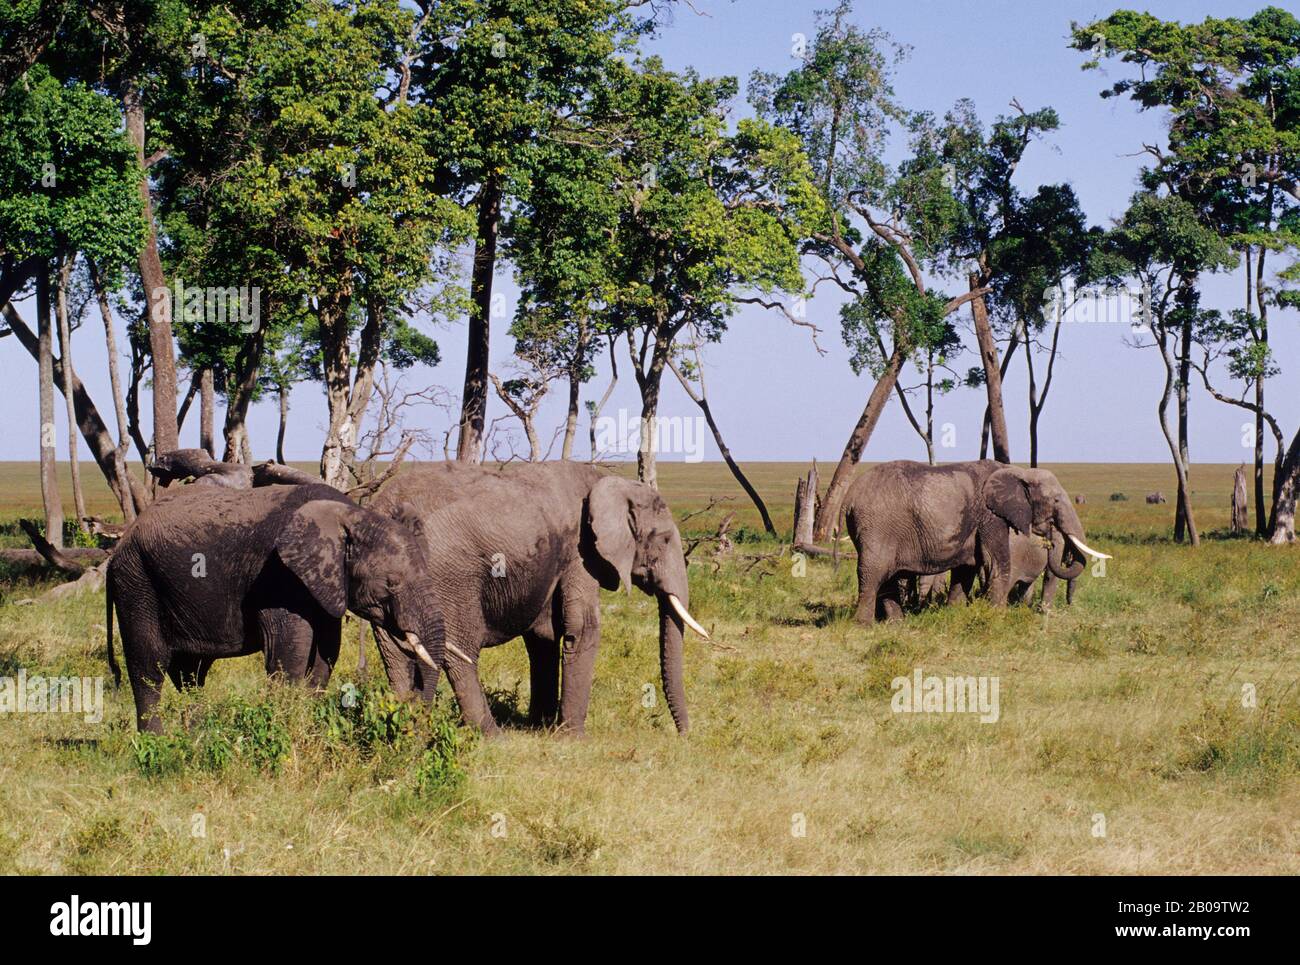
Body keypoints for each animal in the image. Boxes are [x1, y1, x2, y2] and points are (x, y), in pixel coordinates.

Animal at [106, 482, 445, 732]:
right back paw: (157, 741)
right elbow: (289, 654)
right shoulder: (279, 577)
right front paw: (284, 728)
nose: (413, 713)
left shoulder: (324, 584)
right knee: (149, 665)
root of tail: (121, 542)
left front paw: (309, 728)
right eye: (391, 584)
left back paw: (196, 735)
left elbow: (324, 657)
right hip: (137, 581)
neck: (352, 514)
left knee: (191, 672)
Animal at [366, 461, 709, 737]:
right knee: (460, 651)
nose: (683, 736)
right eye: (665, 539)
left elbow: (544, 635)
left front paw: (541, 728)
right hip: (452, 577)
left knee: (397, 655)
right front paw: (572, 738)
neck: (608, 481)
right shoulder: (580, 551)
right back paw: (492, 737)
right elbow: (582, 628)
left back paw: (408, 730)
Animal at [844, 460, 1109, 623]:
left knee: (887, 577)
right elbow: (996, 564)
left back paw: (897, 624)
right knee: (872, 572)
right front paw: (998, 619)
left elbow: (966, 569)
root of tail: (849, 499)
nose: (1052, 537)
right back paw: (864, 626)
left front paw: (954, 616)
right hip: (878, 526)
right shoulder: (990, 515)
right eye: (1055, 500)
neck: (1017, 471)